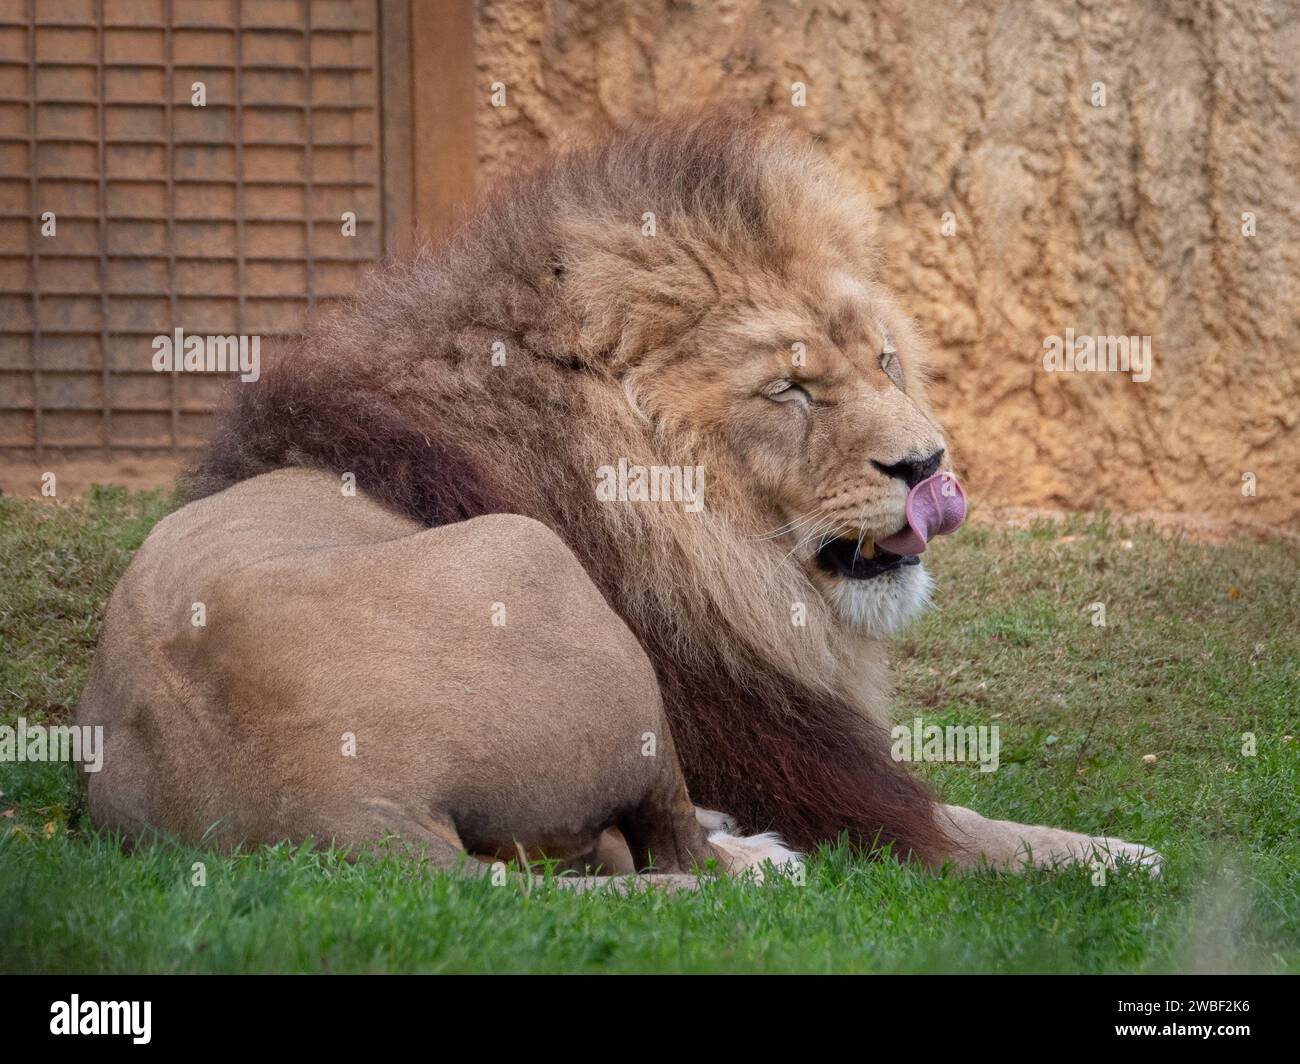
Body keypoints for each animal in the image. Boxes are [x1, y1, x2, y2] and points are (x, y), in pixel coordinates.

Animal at [78, 112, 1159, 881]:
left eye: (885, 360)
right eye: (792, 389)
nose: (928, 464)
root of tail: (350, 807)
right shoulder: (777, 743)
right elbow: (956, 824)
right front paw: (1109, 854)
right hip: (546, 575)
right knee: (680, 848)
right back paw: (758, 856)